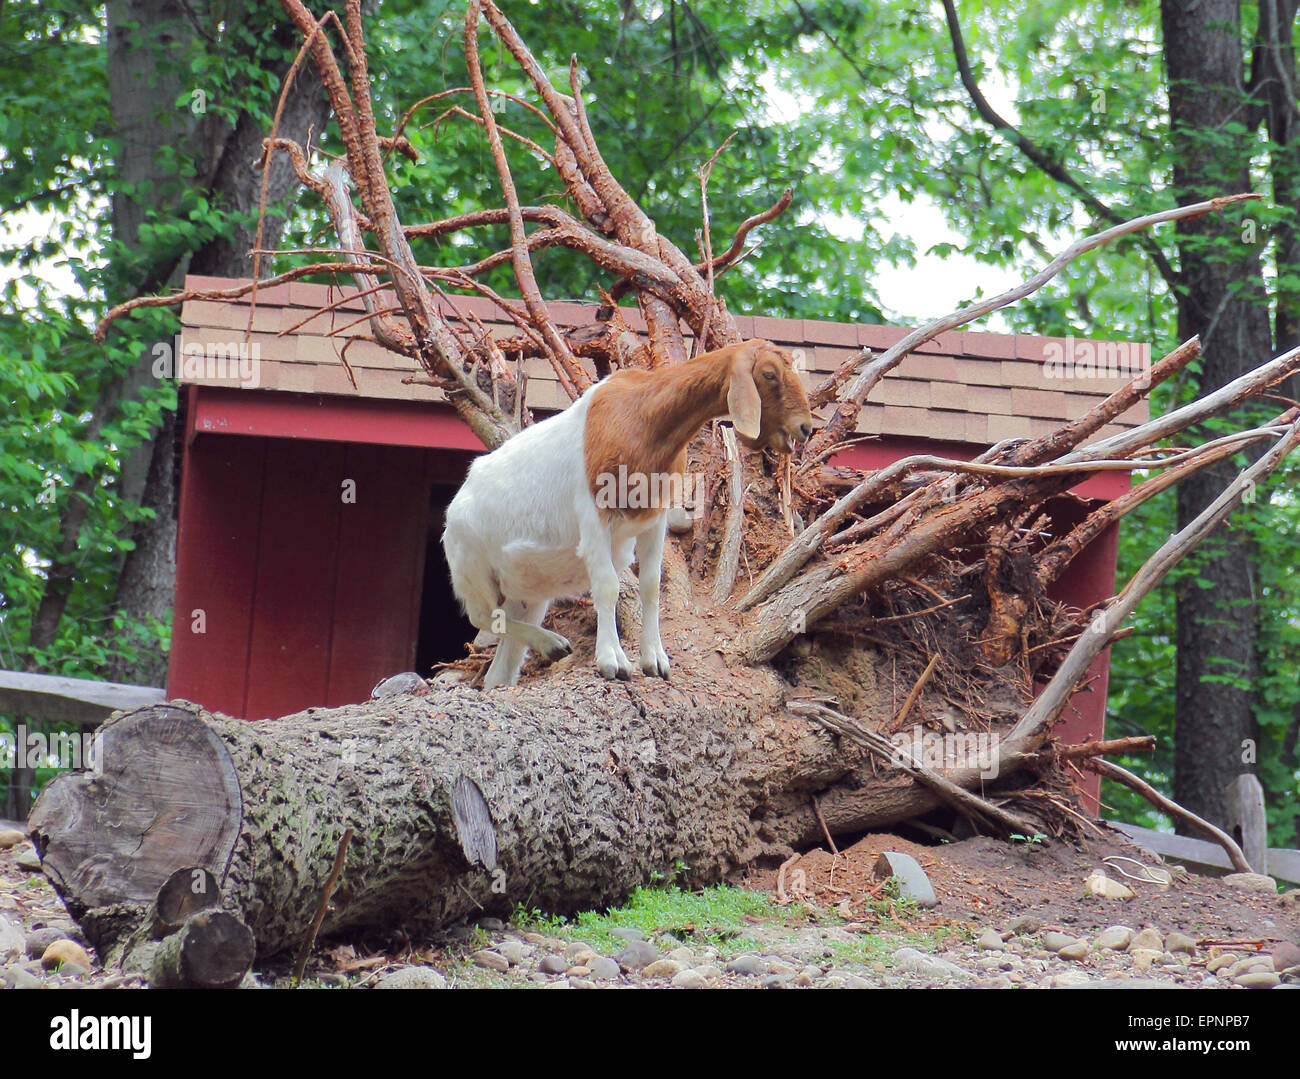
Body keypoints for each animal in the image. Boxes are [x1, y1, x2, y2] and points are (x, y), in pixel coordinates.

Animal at [442, 339, 815, 688]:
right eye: (769, 374)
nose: (806, 428)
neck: (644, 419)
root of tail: (456, 504)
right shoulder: (594, 514)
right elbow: (607, 585)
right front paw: (613, 662)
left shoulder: (655, 517)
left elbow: (651, 585)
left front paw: (656, 661)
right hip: (471, 568)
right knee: (482, 618)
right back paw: (553, 643)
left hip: (528, 591)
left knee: (505, 644)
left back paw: (537, 655)